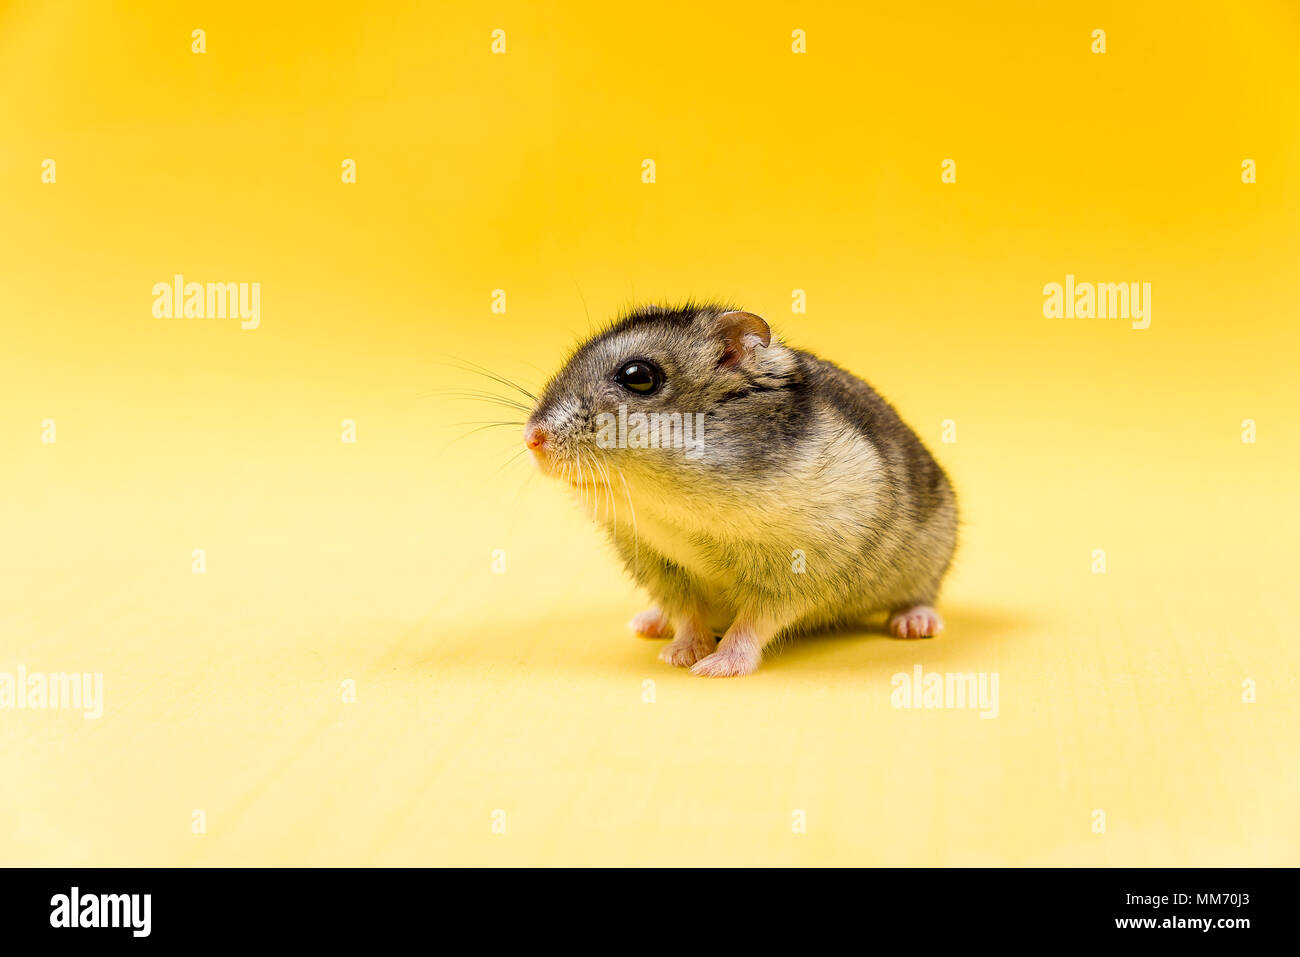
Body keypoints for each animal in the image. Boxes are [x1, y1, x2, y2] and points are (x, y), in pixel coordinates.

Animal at [523, 301, 958, 677]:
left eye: (638, 376)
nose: (532, 439)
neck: (677, 503)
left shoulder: (797, 568)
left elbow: (754, 621)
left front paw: (714, 667)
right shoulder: (655, 562)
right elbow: (685, 612)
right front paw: (680, 655)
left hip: (932, 552)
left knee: (923, 594)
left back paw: (915, 624)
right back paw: (648, 624)